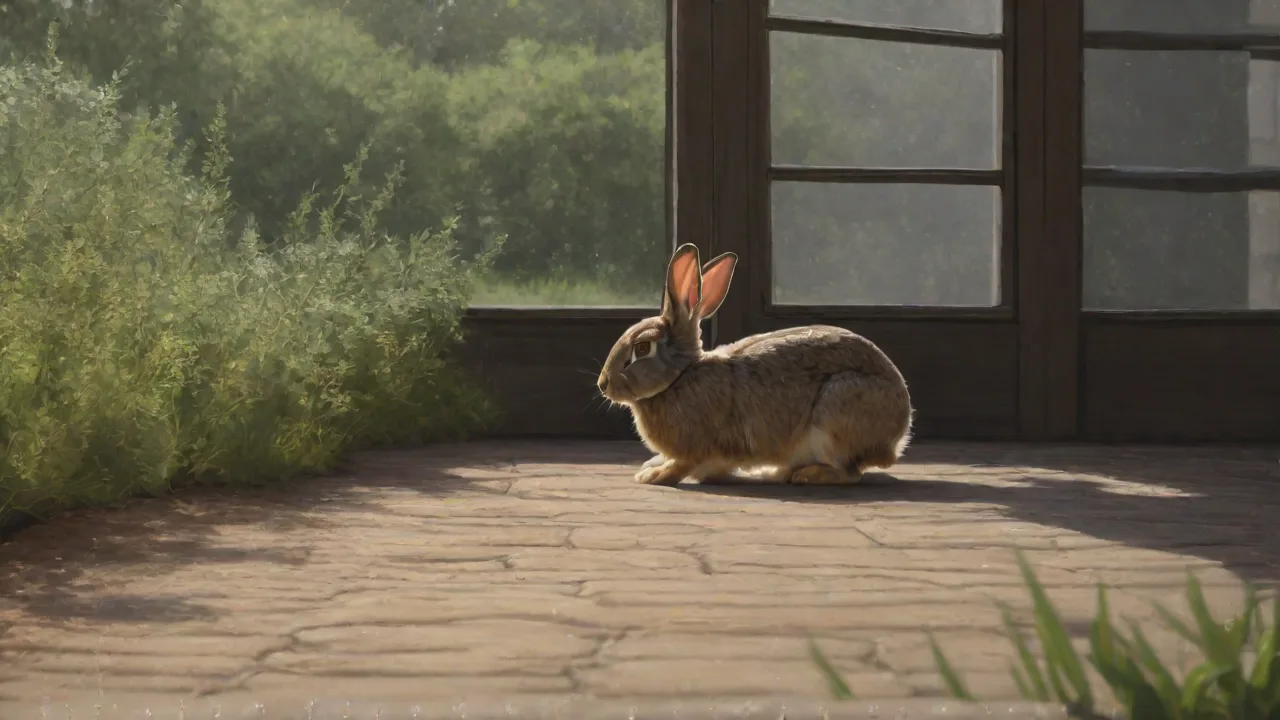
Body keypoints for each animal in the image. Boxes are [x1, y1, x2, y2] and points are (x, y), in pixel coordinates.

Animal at [596, 243, 914, 486]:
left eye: (641, 348)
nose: (603, 384)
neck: (680, 377)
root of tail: (898, 434)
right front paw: (649, 466)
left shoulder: (698, 447)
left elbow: (682, 465)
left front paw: (652, 476)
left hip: (834, 410)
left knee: (849, 473)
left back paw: (806, 475)